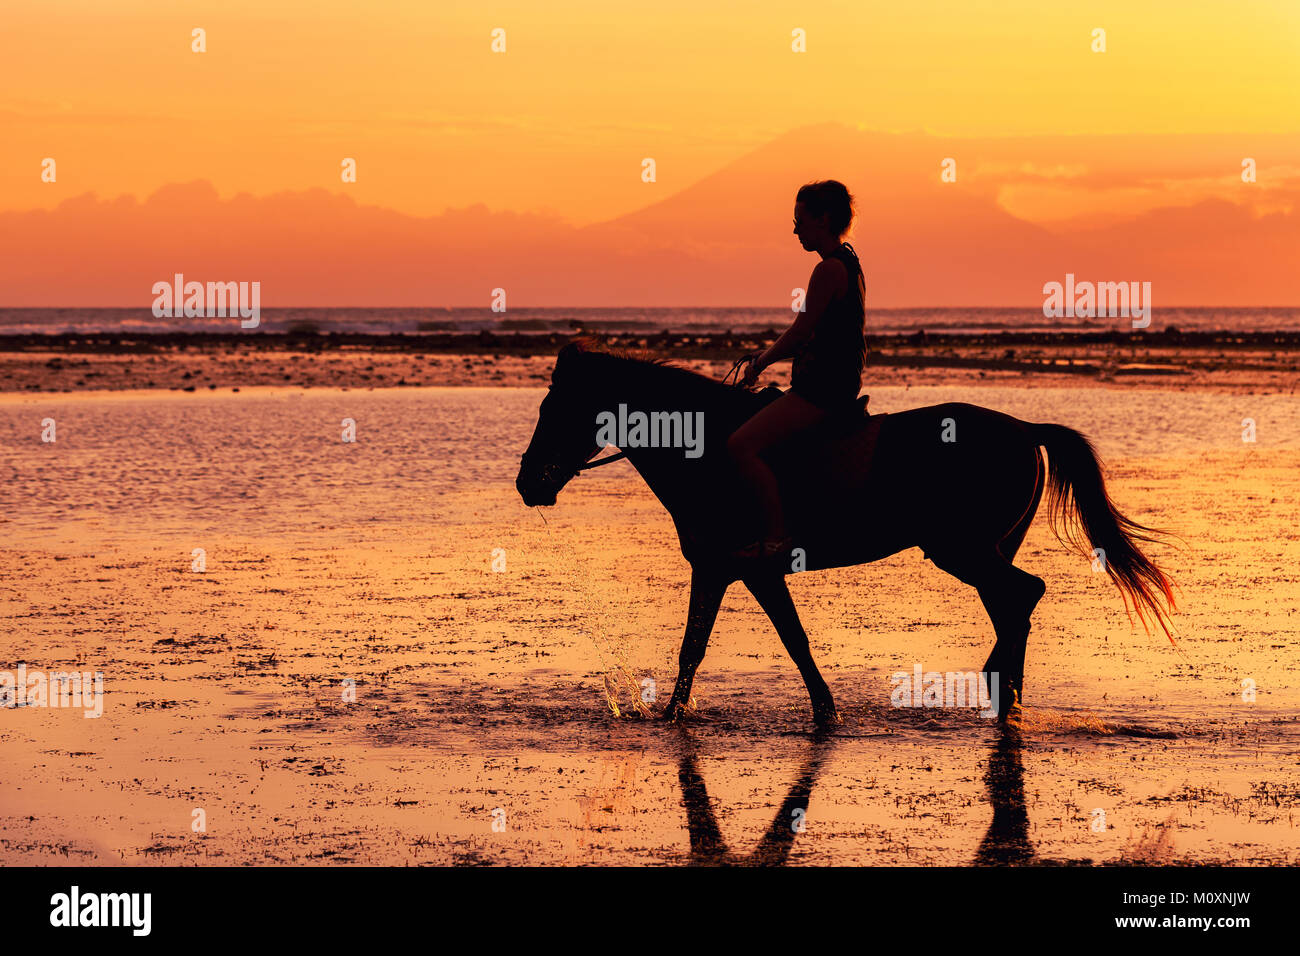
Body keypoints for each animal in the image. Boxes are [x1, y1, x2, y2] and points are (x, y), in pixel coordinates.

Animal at [515, 341, 1176, 728]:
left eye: (556, 410)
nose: (527, 484)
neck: (702, 448)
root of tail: (1023, 427)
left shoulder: (751, 568)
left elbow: (789, 641)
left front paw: (823, 711)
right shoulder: (719, 568)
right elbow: (694, 647)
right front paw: (675, 715)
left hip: (961, 549)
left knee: (1022, 596)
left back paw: (998, 693)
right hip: (984, 550)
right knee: (1013, 604)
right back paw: (1004, 701)